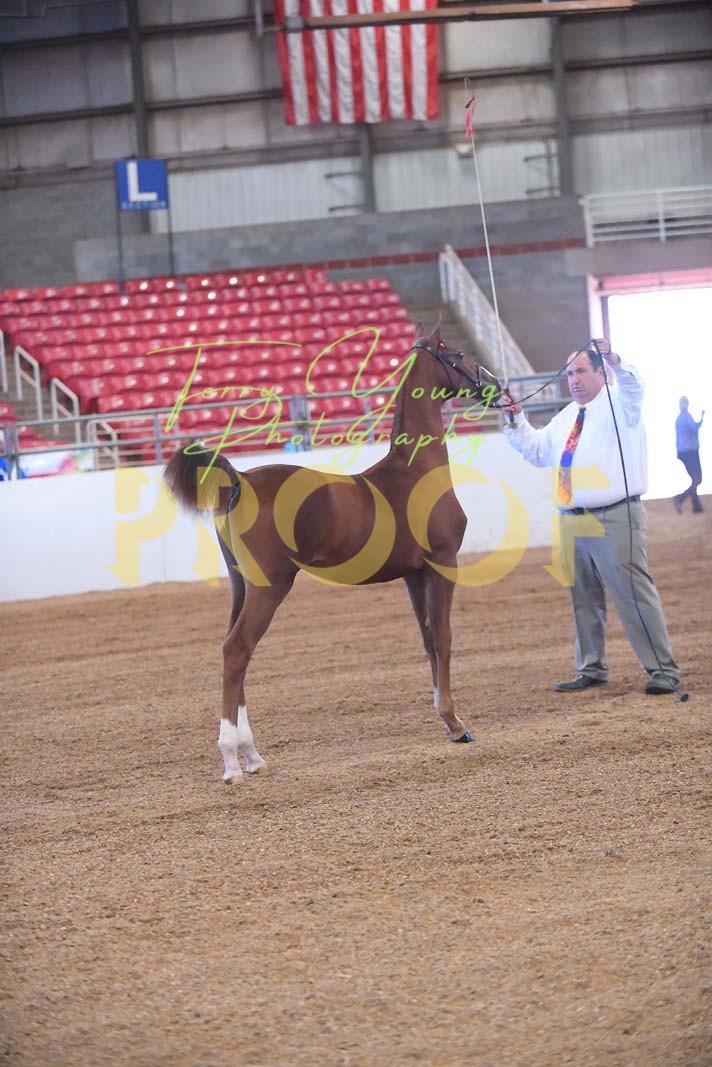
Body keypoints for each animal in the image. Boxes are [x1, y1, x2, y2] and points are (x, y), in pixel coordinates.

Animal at [164, 319, 501, 783]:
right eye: (461, 354)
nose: (497, 387)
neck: (416, 471)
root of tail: (241, 481)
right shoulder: (442, 564)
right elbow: (445, 638)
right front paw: (457, 723)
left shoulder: (413, 575)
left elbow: (428, 640)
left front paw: (447, 722)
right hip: (269, 587)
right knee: (237, 650)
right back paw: (232, 762)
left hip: (241, 586)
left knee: (234, 651)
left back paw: (252, 755)